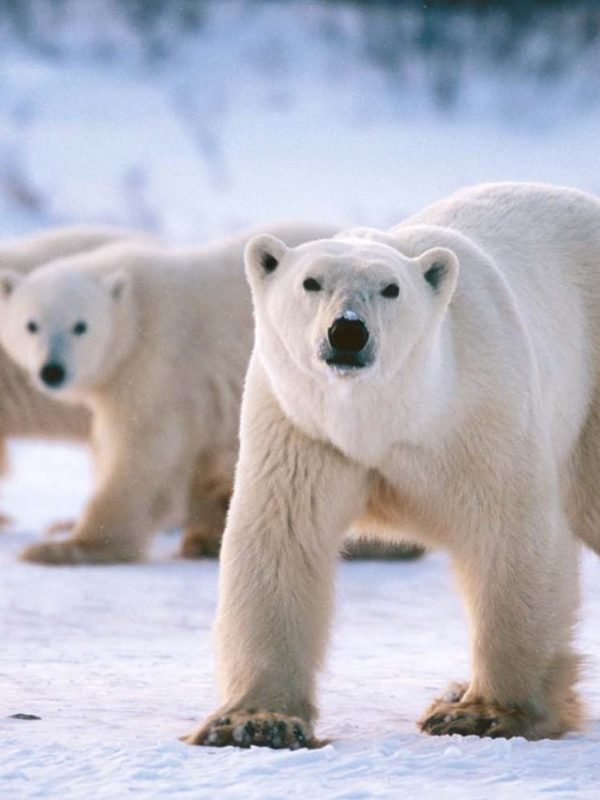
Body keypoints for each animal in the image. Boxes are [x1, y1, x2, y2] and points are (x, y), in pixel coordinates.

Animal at [185, 182, 600, 749]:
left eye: (391, 289)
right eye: (310, 281)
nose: (347, 332)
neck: (389, 416)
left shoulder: (482, 414)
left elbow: (510, 536)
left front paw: (484, 713)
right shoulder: (301, 427)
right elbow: (279, 540)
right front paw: (256, 721)